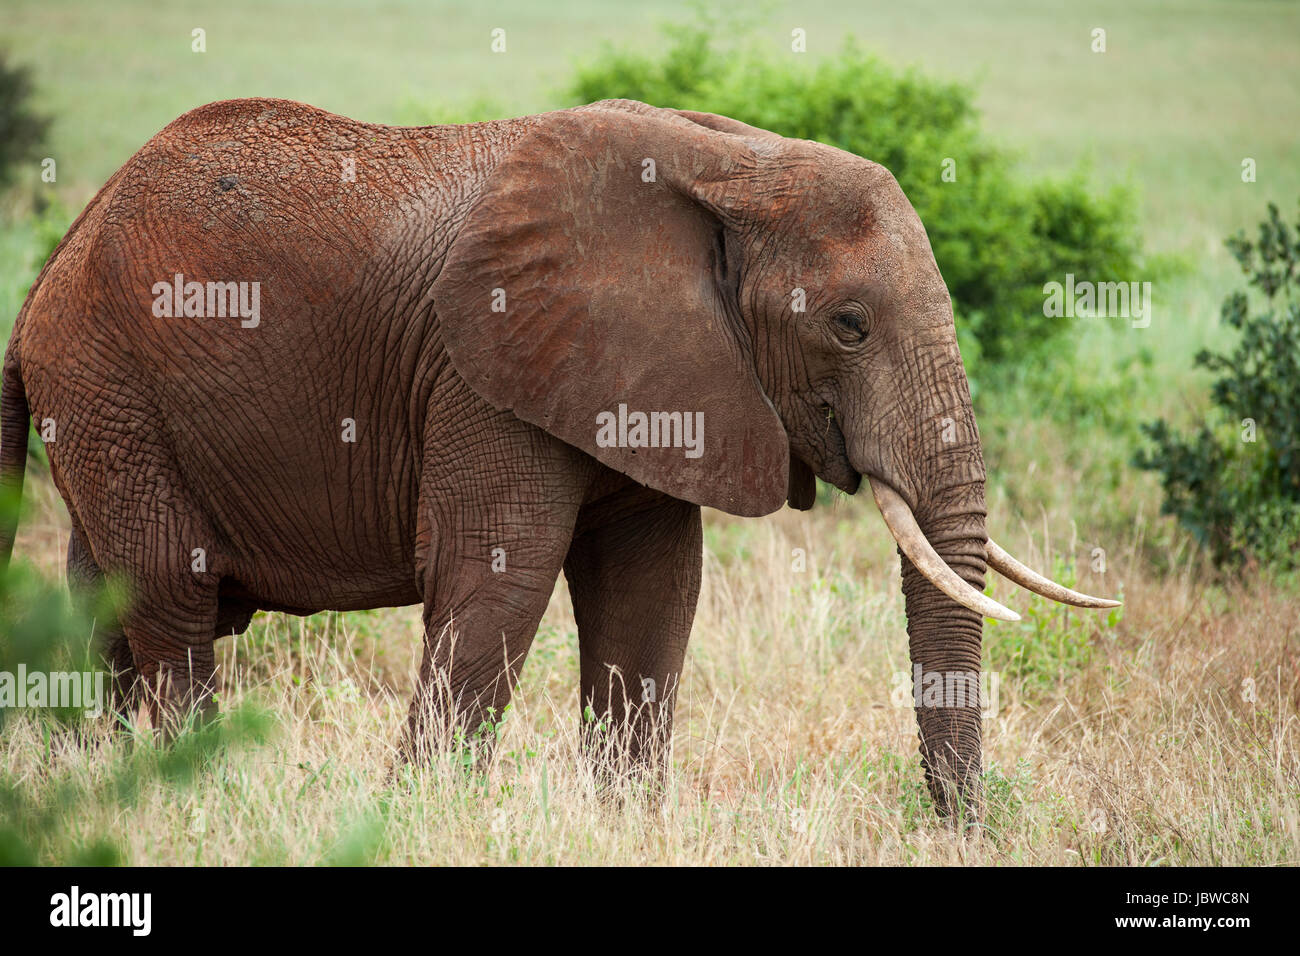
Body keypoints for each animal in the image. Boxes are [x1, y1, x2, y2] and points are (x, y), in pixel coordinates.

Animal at [0, 97, 1117, 817]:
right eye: (848, 326)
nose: (957, 826)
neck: (736, 164)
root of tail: (54, 261)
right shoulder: (486, 369)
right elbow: (501, 573)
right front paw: (421, 823)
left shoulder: (660, 383)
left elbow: (652, 587)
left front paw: (624, 825)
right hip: (110, 386)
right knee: (174, 599)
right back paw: (196, 797)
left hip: (104, 407)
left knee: (102, 604)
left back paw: (89, 786)